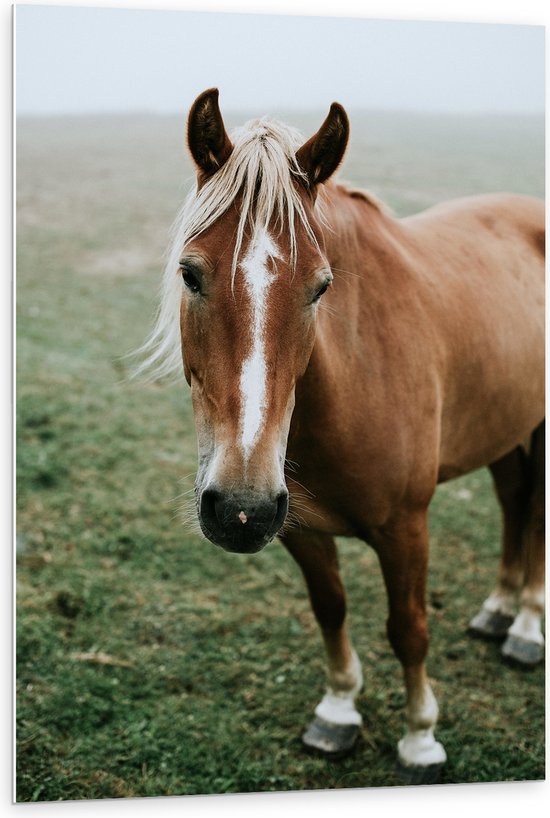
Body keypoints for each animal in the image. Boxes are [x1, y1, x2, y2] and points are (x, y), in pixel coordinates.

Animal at [141, 88, 545, 783]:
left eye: (321, 286)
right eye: (190, 273)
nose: (240, 506)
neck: (355, 377)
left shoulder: (407, 526)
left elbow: (408, 628)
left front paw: (420, 738)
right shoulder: (298, 527)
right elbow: (330, 608)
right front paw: (337, 711)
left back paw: (525, 629)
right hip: (504, 425)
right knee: (515, 501)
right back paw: (498, 609)